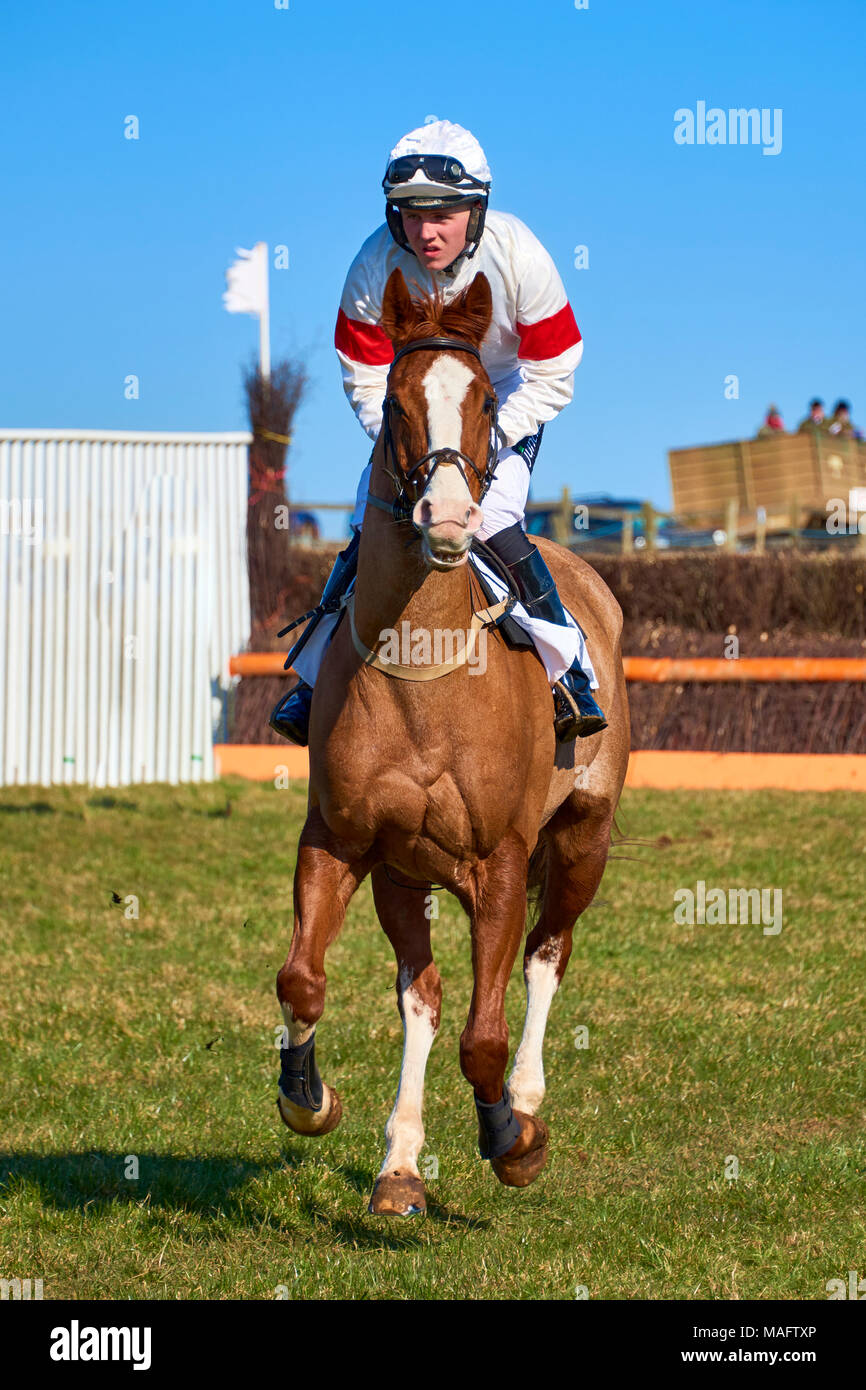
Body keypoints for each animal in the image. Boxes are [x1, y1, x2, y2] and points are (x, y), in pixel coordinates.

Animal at [275, 266, 630, 1215]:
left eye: (484, 403)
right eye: (396, 402)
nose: (445, 515)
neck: (422, 673)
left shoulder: (500, 859)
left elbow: (486, 1037)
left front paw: (511, 1137)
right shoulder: (344, 840)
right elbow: (305, 979)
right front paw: (308, 1095)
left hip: (582, 838)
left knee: (547, 955)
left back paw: (528, 1101)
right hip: (406, 876)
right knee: (424, 994)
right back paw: (400, 1164)